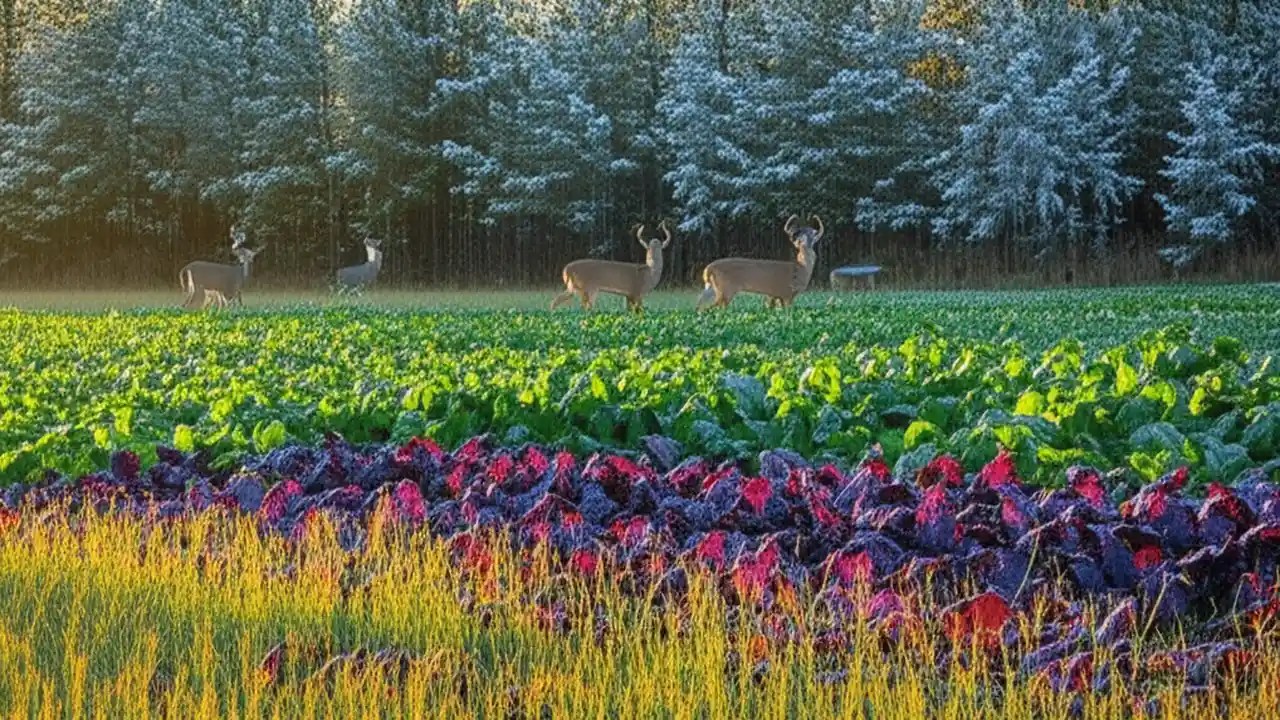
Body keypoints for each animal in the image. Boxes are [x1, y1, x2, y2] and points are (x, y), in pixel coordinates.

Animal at [696, 214, 825, 310]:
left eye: (812, 234)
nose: (804, 245)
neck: (801, 268)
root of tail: (708, 269)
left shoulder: (775, 295)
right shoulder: (787, 293)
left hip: (712, 289)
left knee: (700, 306)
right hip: (726, 290)